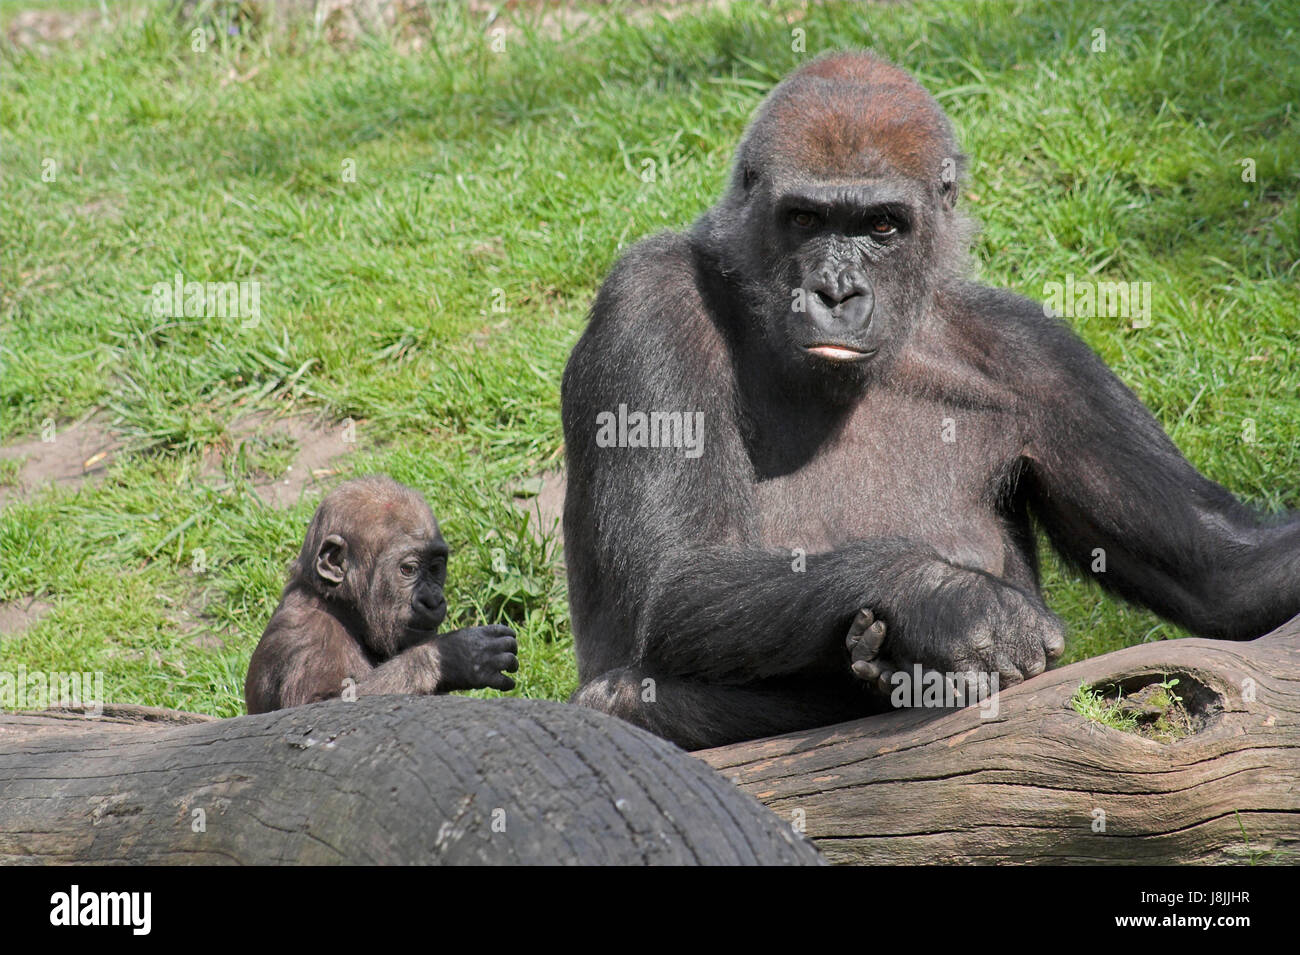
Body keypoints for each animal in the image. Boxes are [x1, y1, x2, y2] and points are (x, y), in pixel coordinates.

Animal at [245, 476, 518, 714]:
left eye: (435, 568)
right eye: (409, 569)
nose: (433, 599)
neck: (339, 608)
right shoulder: (307, 636)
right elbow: (317, 704)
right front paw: (456, 654)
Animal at [560, 51, 1300, 750]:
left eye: (883, 227)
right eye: (803, 219)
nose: (835, 292)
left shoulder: (1044, 359)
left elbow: (1222, 569)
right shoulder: (649, 298)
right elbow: (674, 574)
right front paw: (949, 603)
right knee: (619, 697)